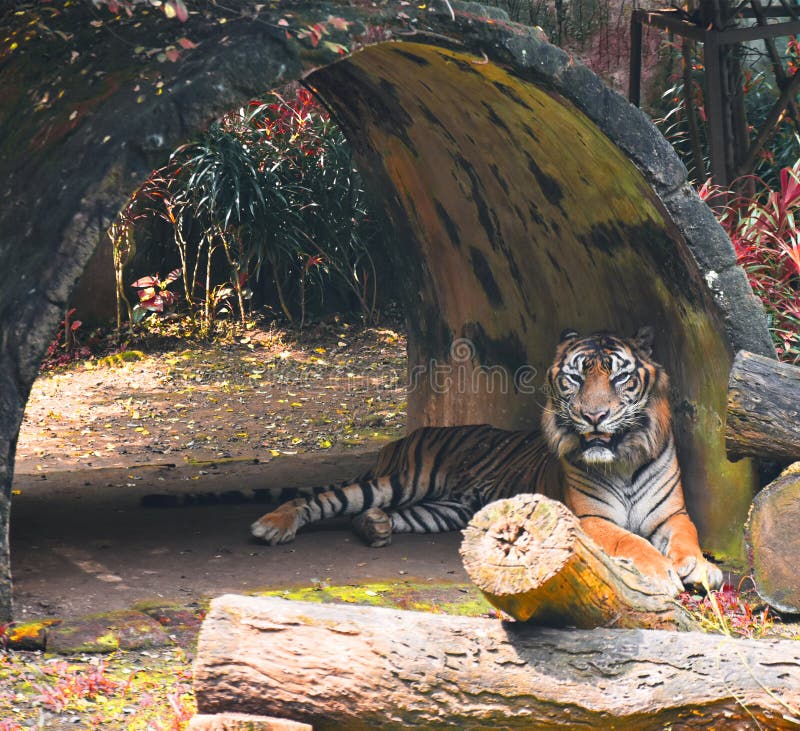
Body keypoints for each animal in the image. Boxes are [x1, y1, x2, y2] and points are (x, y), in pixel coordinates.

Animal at [251, 327, 722, 593]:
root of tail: (409, 435)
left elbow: (688, 536)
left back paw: (375, 526)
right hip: (401, 480)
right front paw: (661, 572)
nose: (594, 416)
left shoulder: (672, 514)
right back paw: (273, 525)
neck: (621, 458)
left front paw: (700, 568)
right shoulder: (589, 519)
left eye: (621, 377)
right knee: (323, 499)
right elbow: (632, 542)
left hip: (441, 510)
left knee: (377, 514)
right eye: (574, 378)